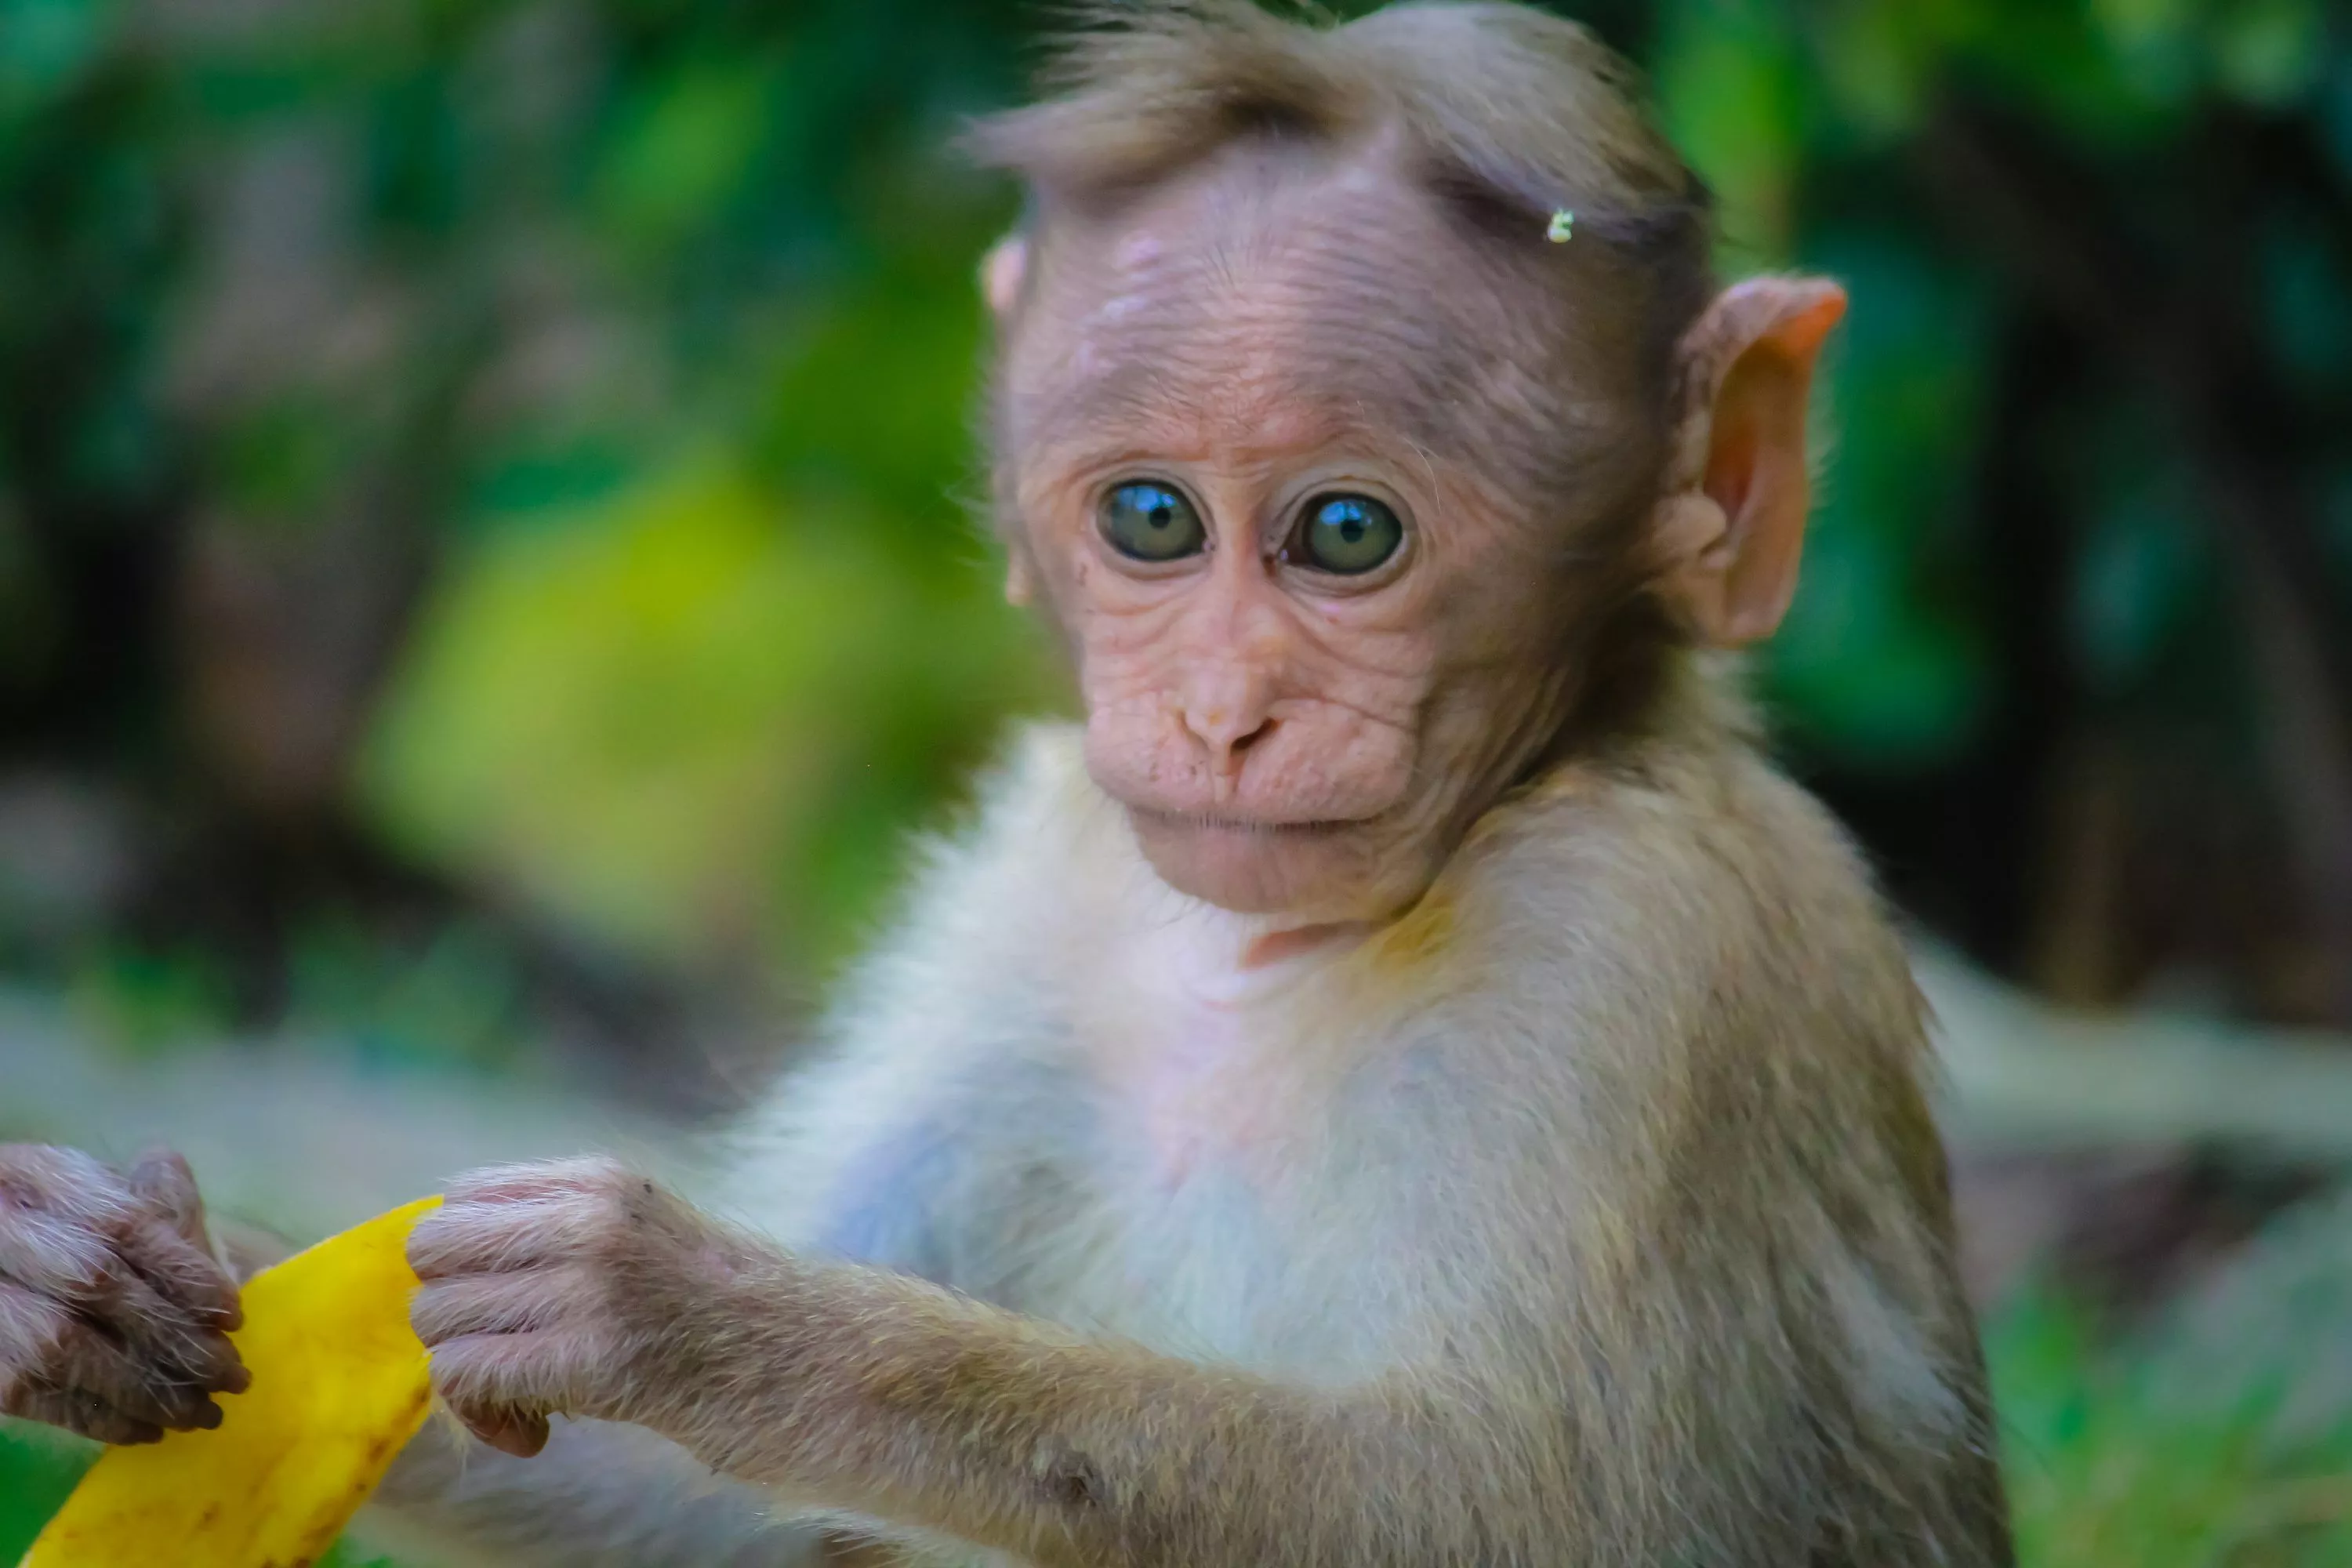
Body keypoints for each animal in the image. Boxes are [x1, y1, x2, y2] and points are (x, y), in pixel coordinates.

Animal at [0, 4, 2014, 1565]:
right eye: (1152, 519)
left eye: (1346, 535)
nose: (1219, 712)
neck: (1280, 957)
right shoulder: (1051, 886)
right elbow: (699, 1511)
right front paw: (63, 1272)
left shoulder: (1643, 953)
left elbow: (1525, 1509)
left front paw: (707, 1315)